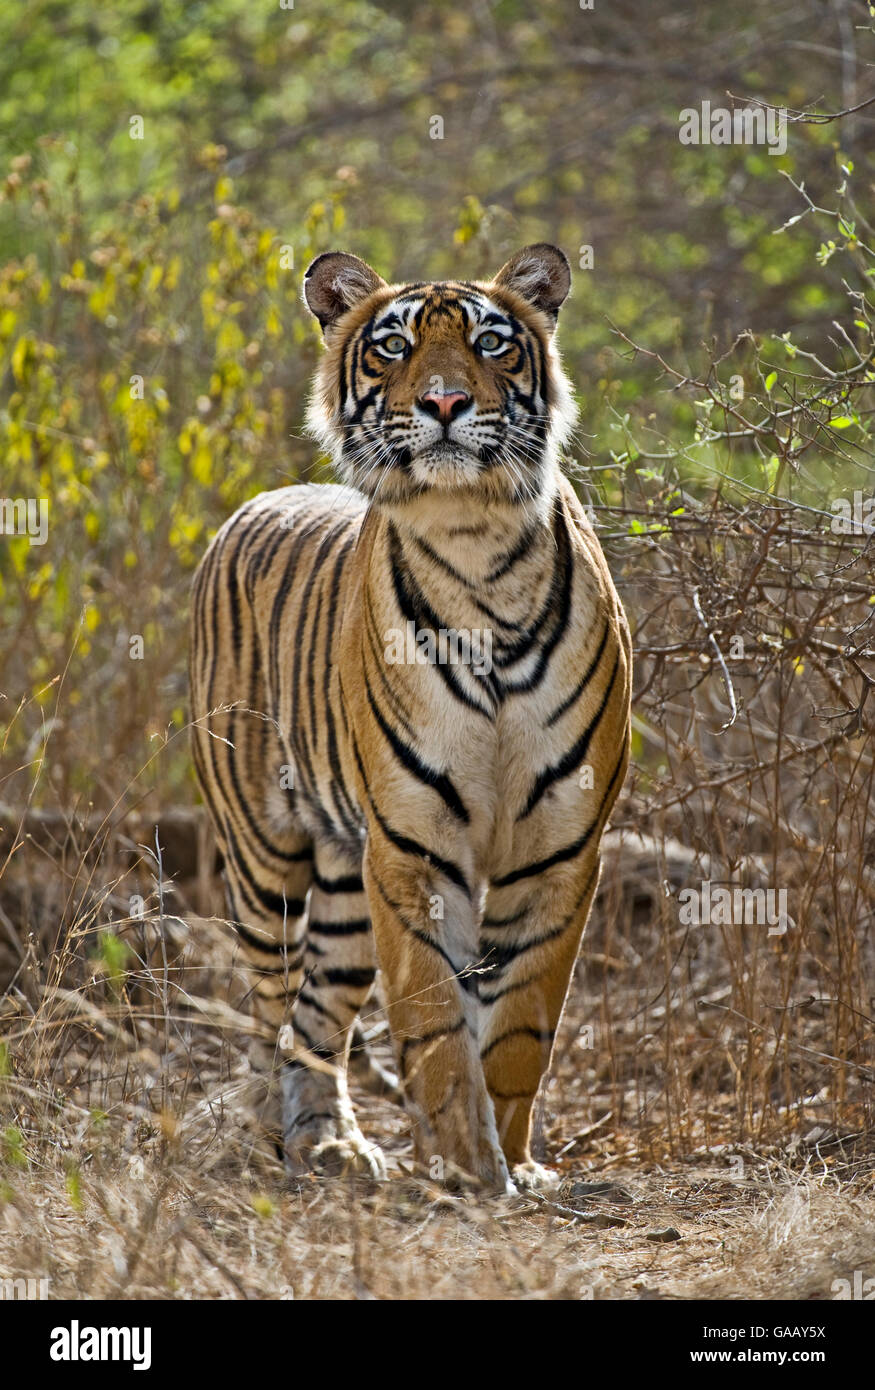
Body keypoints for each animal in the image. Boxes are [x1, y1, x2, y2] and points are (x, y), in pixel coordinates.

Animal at [189, 243, 632, 1192]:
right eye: (392, 346)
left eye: (491, 342)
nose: (443, 403)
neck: (477, 548)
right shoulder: (414, 848)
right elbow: (434, 1020)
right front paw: (463, 1165)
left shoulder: (560, 847)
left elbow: (520, 1023)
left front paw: (512, 1164)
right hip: (265, 857)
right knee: (269, 1008)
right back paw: (271, 1137)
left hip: (346, 884)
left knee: (317, 1014)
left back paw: (331, 1141)